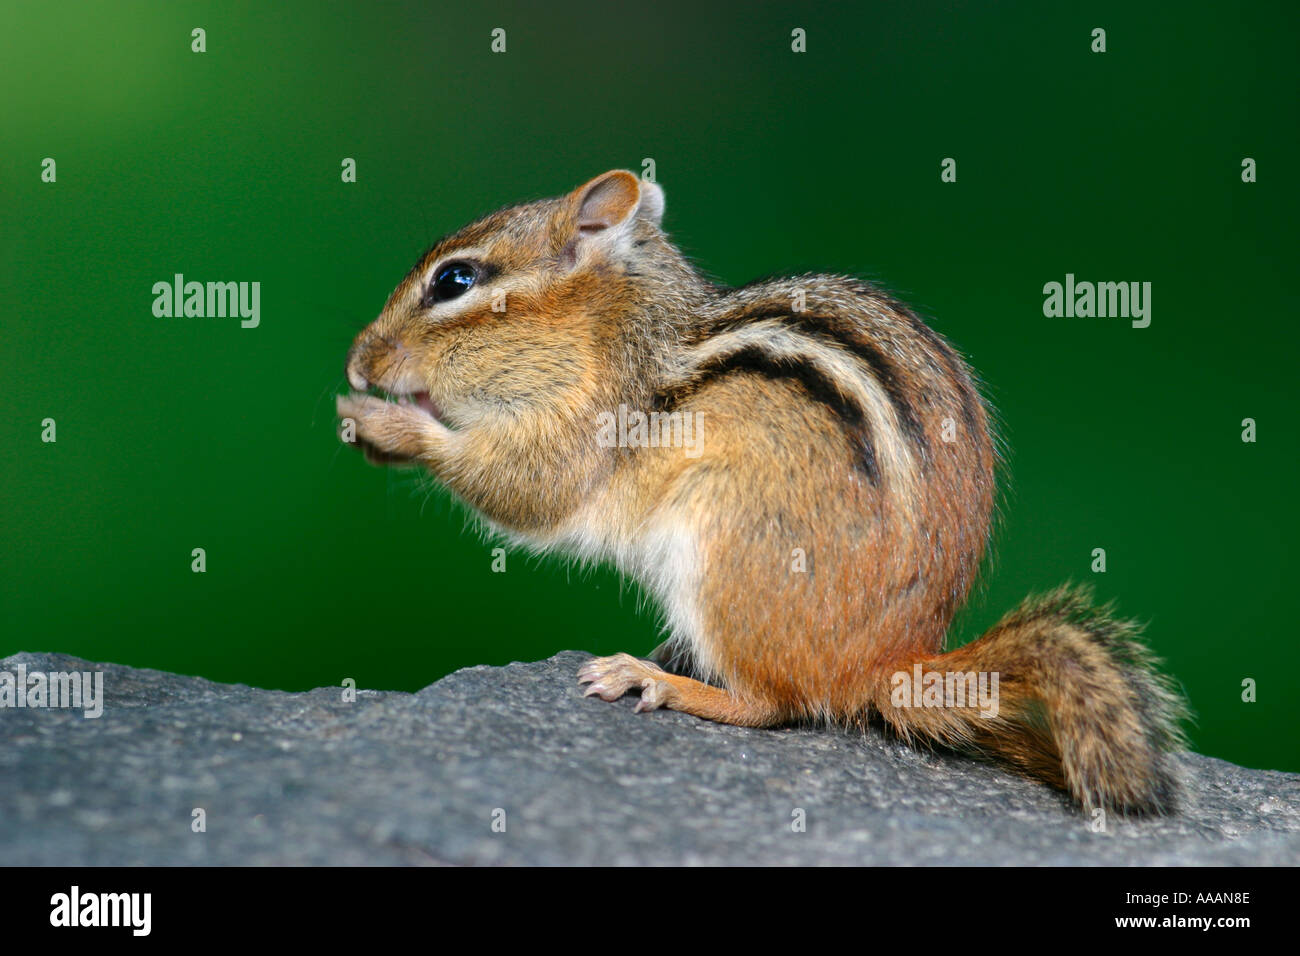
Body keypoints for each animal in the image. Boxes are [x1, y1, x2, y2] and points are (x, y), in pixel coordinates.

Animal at [337, 170, 1188, 815]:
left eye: (455, 281)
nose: (356, 359)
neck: (613, 329)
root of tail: (886, 663)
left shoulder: (586, 423)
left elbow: (526, 491)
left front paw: (386, 422)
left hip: (721, 545)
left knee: (772, 705)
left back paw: (657, 680)